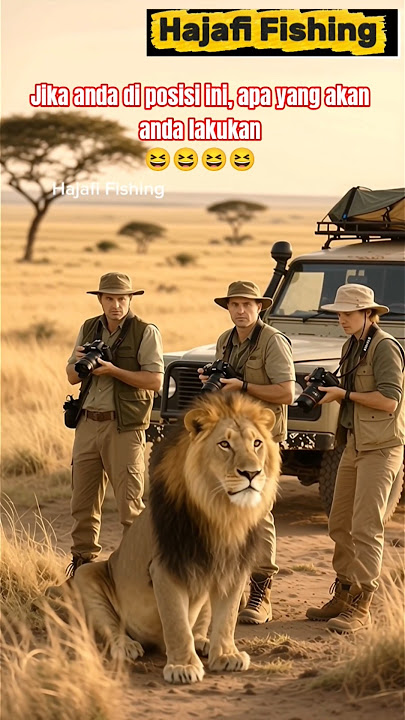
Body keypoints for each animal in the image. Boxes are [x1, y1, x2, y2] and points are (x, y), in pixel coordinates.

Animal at [72, 391, 280, 684]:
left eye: (257, 443)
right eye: (224, 444)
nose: (252, 473)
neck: (221, 514)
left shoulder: (233, 569)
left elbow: (227, 618)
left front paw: (226, 655)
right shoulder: (166, 569)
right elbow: (176, 622)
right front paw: (183, 667)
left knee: (202, 624)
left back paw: (204, 642)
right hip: (86, 575)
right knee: (111, 627)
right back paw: (127, 645)